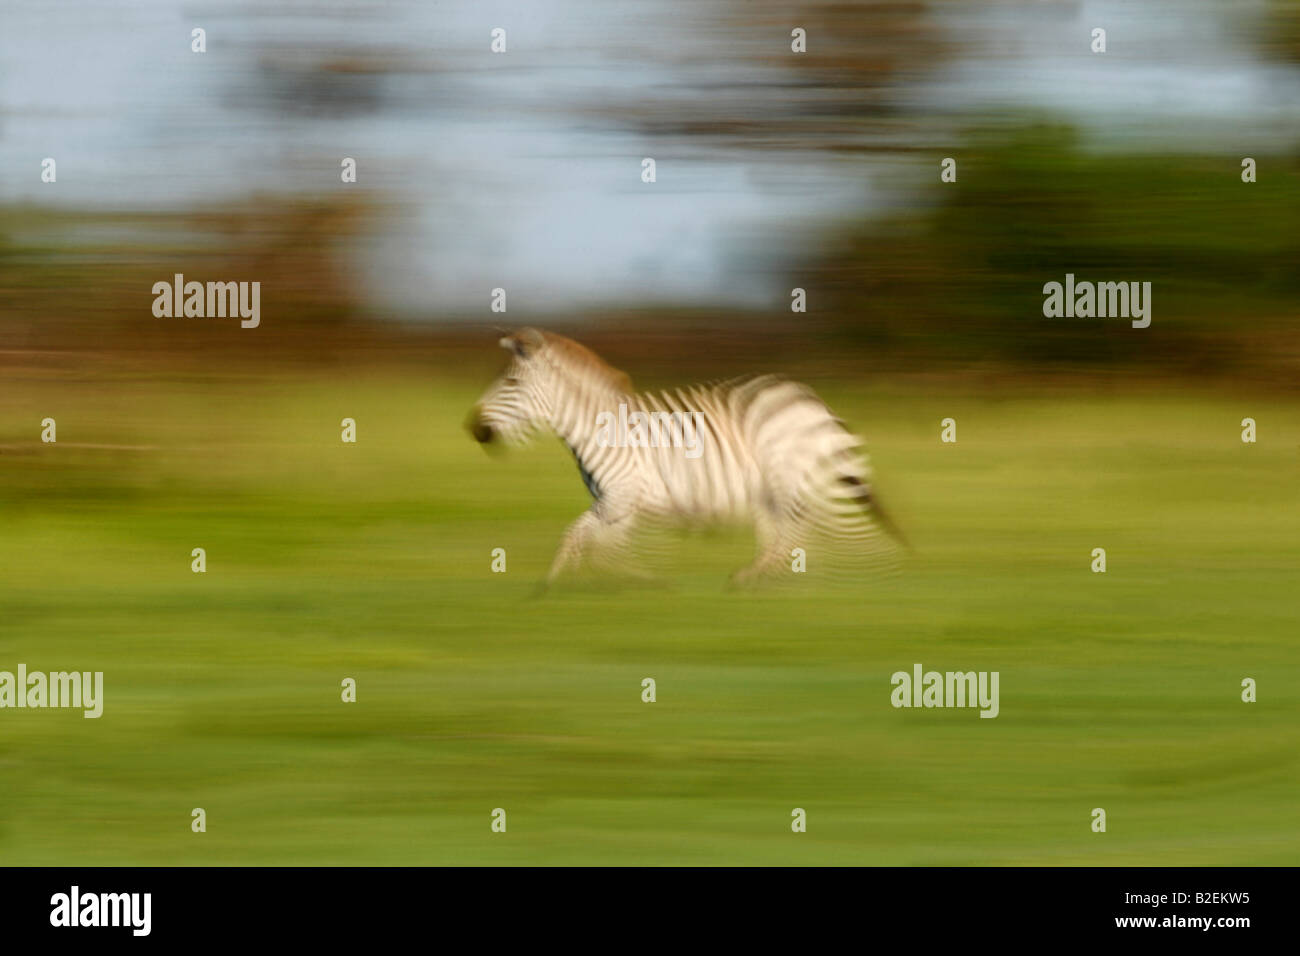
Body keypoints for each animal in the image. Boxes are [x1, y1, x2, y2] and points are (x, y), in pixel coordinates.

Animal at [466, 327, 906, 587]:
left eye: (511, 383)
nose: (476, 430)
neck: (597, 429)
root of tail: (809, 398)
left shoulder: (620, 498)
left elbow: (580, 538)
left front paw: (558, 589)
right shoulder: (617, 505)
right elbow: (595, 544)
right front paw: (606, 583)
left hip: (789, 476)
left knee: (798, 533)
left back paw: (766, 583)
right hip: (774, 487)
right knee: (787, 535)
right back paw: (765, 581)